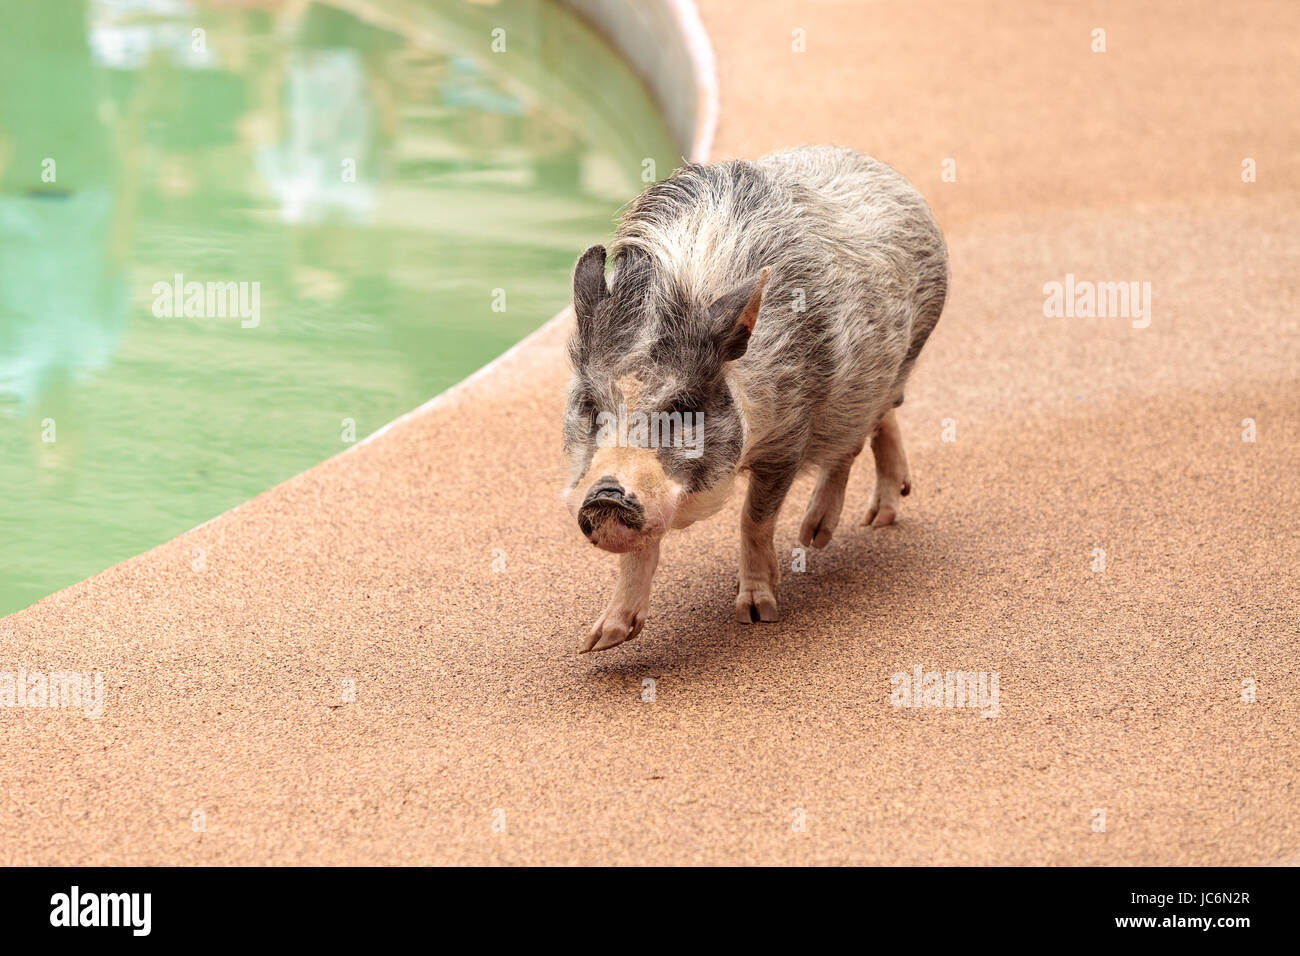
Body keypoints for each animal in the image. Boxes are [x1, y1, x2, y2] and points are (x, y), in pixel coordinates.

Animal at [562, 145, 948, 652]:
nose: (605, 496)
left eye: (684, 408)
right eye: (590, 407)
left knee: (851, 441)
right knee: (880, 420)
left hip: (899, 356)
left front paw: (757, 614)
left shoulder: (791, 434)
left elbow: (754, 519)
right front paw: (598, 642)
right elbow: (641, 548)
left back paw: (823, 534)